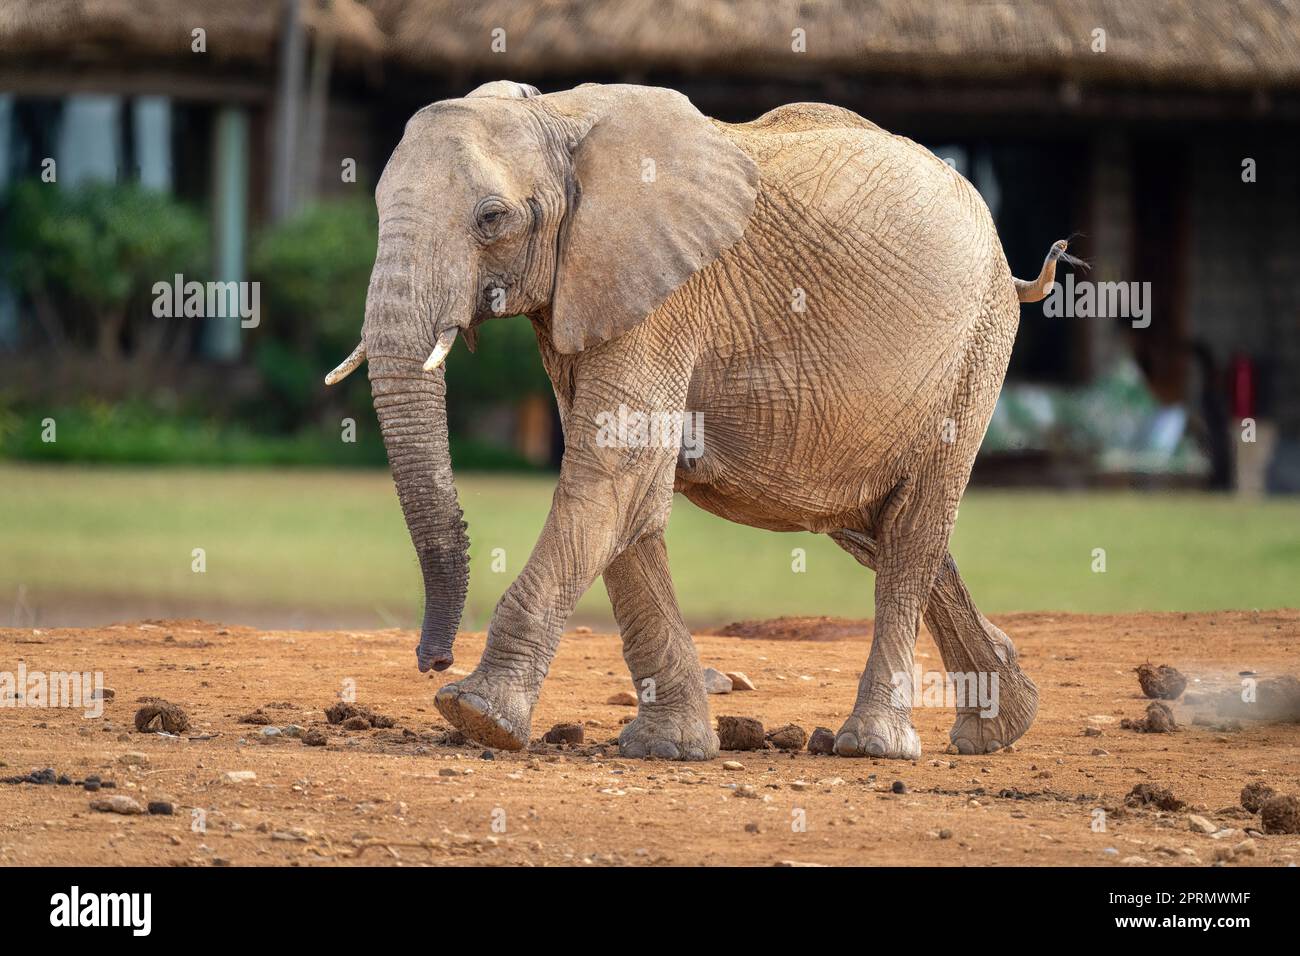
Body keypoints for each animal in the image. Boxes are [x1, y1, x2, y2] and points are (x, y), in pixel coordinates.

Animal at [325, 80, 1068, 760]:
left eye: (491, 218)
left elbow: (611, 474)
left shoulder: (666, 295)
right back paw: (1001, 722)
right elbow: (632, 493)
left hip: (976, 348)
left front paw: (476, 717)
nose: (433, 661)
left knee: (913, 528)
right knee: (877, 526)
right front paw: (670, 747)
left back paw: (873, 746)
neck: (558, 118)